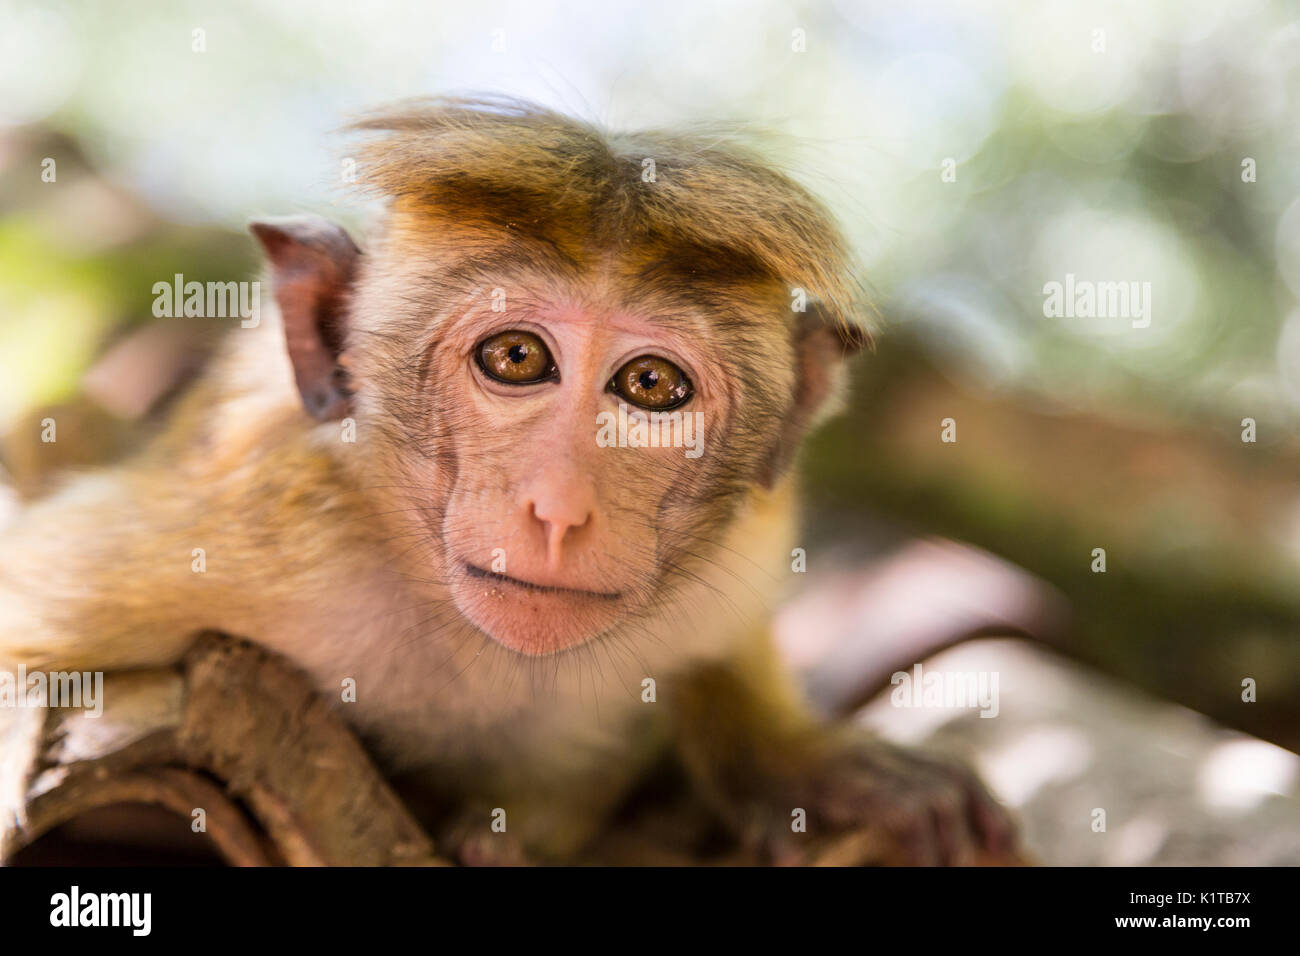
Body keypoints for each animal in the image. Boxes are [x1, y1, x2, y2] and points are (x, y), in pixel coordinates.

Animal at [0, 95, 1018, 865]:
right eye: (518, 358)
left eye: (653, 387)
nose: (559, 510)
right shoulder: (256, 539)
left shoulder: (746, 545)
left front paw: (804, 768)